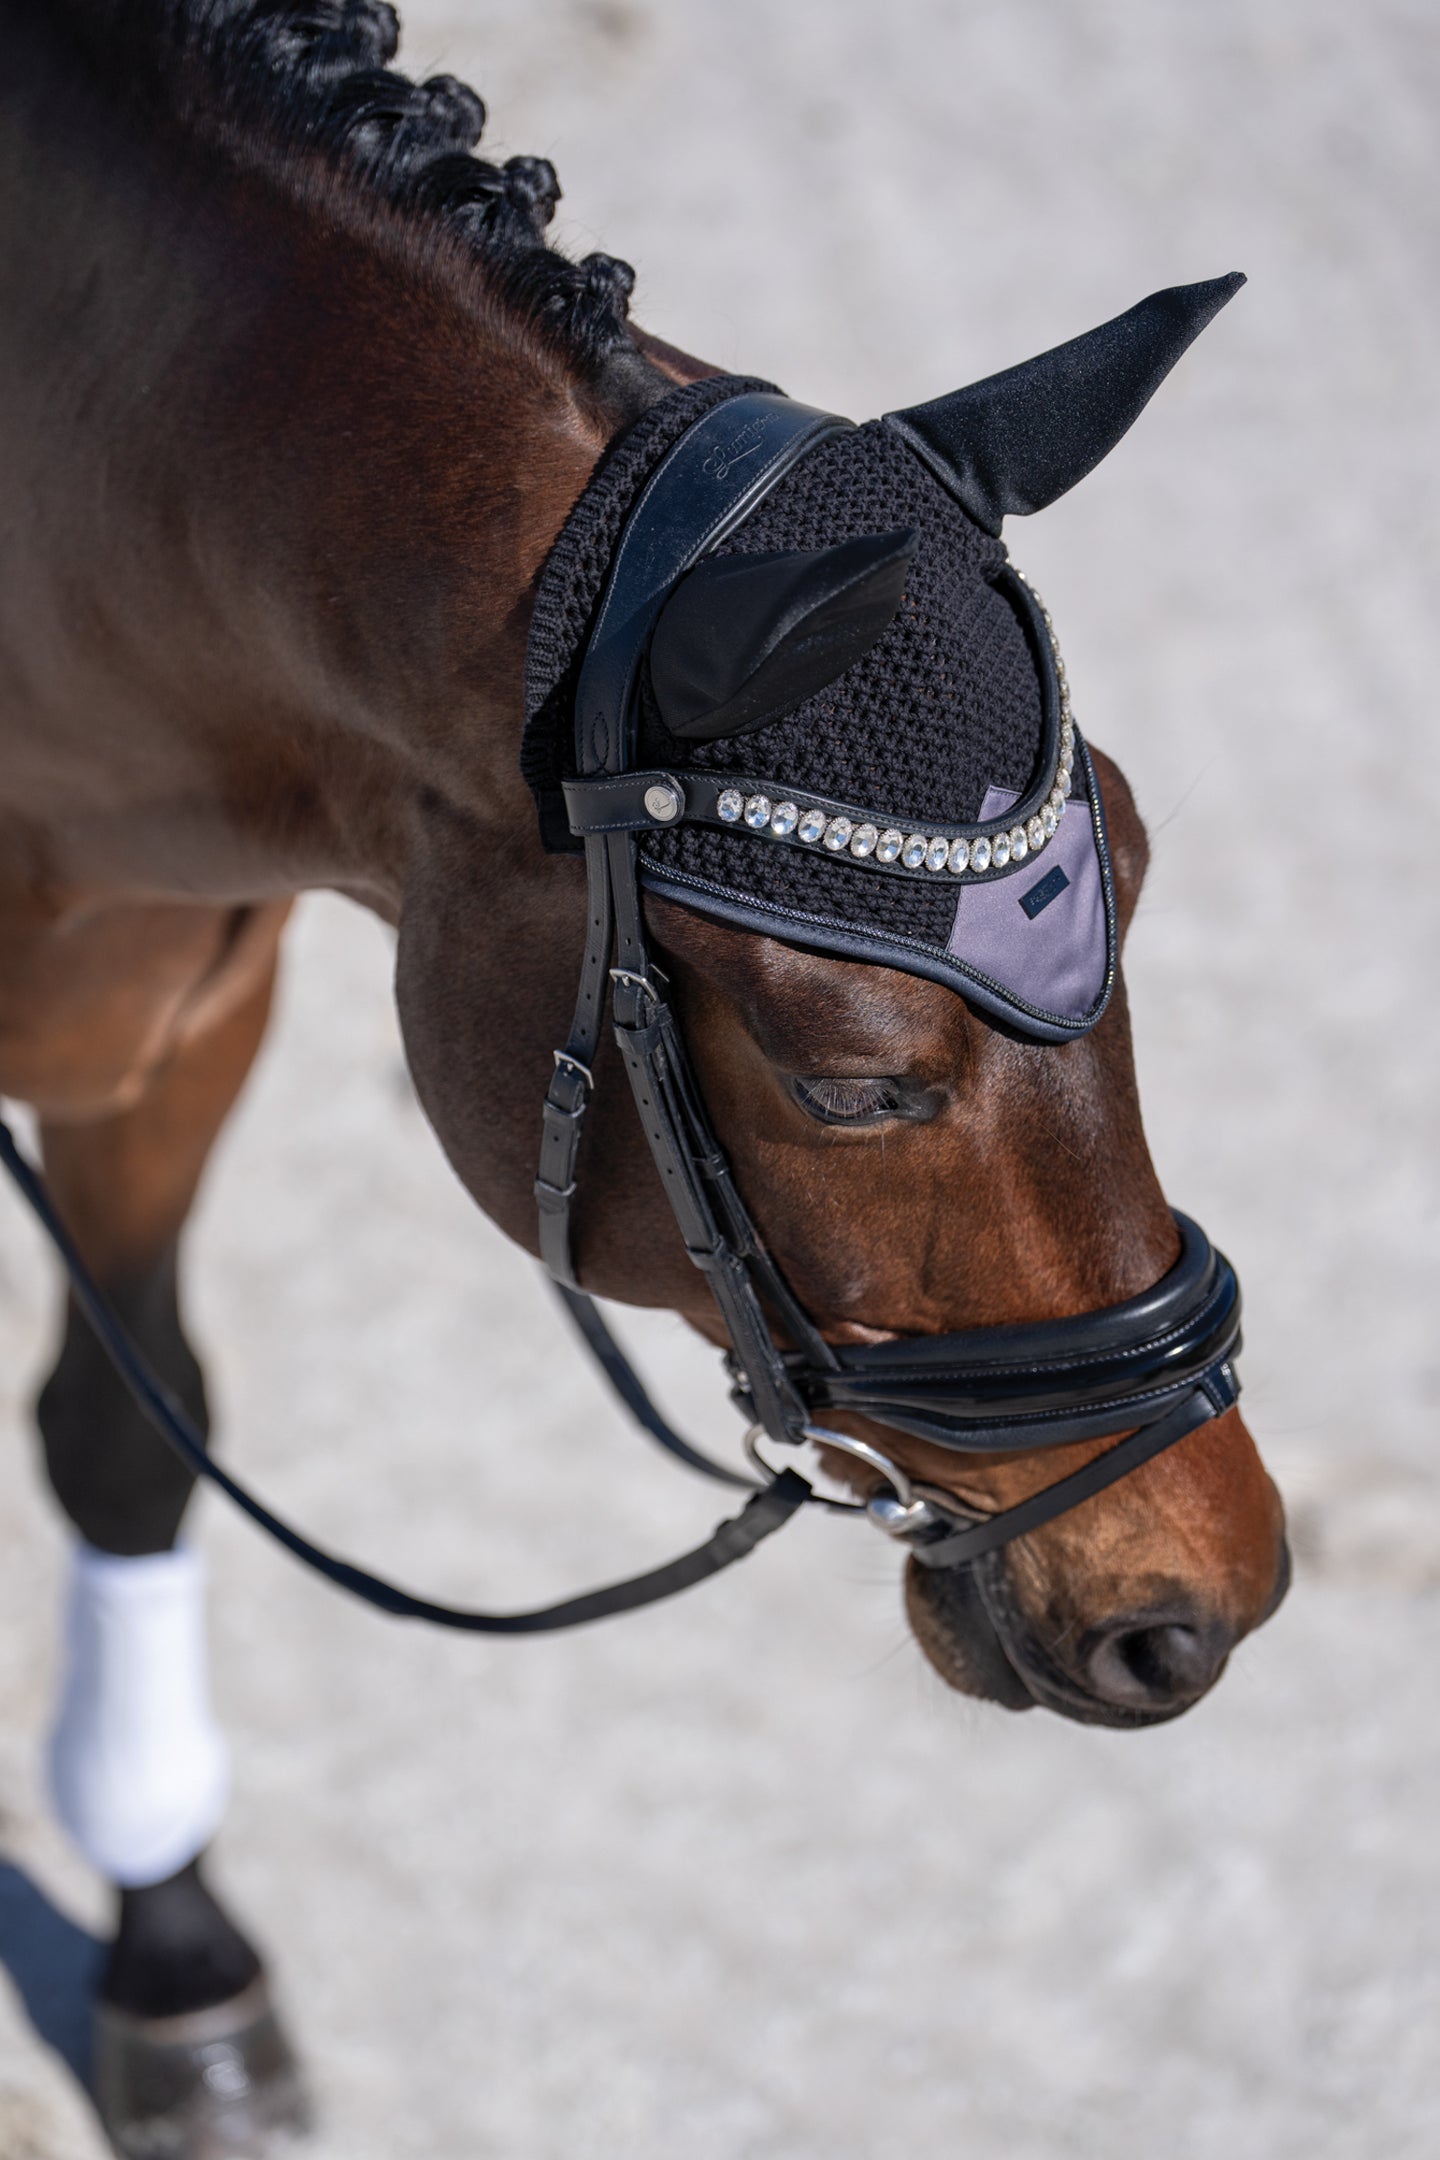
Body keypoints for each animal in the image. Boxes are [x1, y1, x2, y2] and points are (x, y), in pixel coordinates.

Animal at [0, 2, 1288, 2153]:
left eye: (1138, 850)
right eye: (852, 1079)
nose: (1208, 1594)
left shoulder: (169, 1027)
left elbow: (124, 1425)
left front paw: (172, 1958)